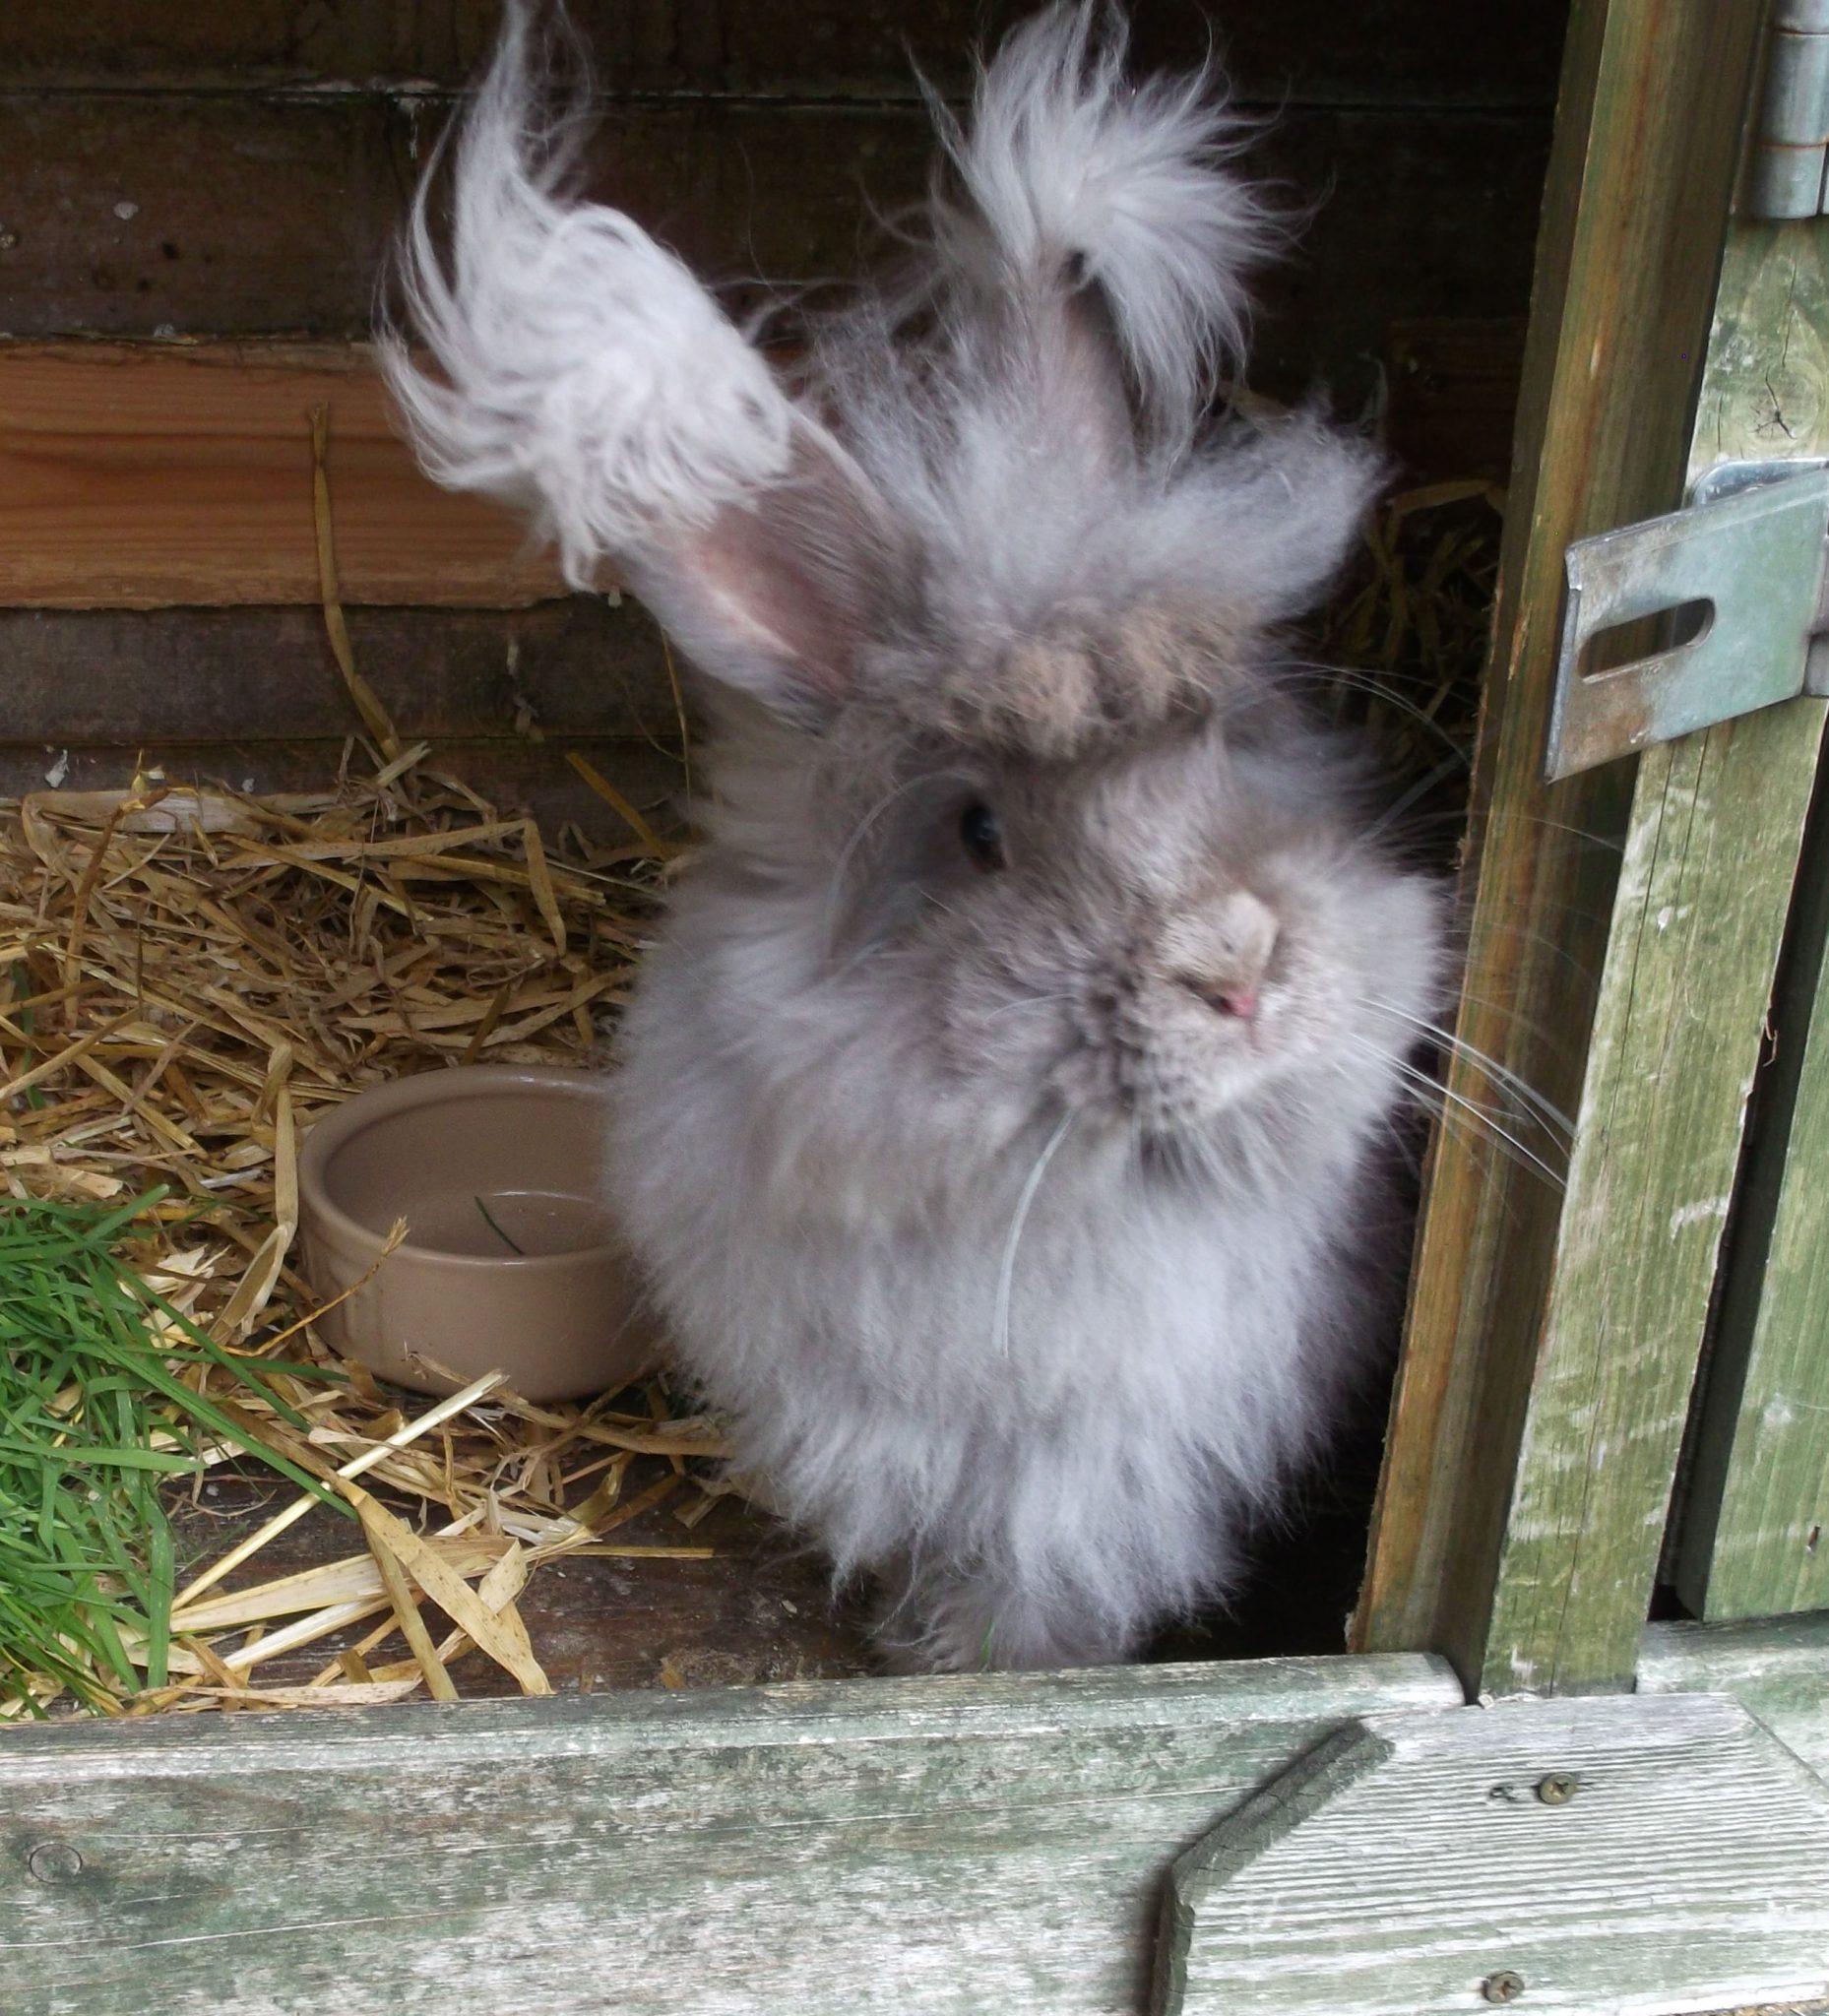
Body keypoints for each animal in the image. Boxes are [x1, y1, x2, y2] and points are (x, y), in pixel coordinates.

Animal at [381, 0, 1450, 1672]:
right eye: (978, 831)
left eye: (1220, 743)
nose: (1236, 969)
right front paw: (934, 1661)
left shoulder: (1097, 1487)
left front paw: (994, 1672)